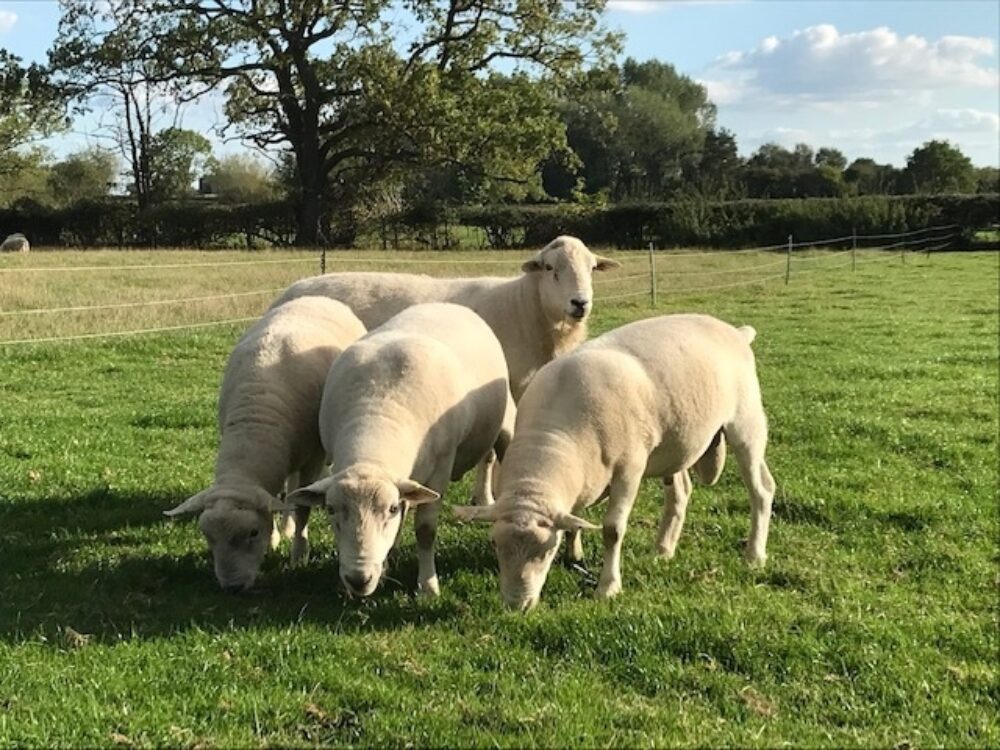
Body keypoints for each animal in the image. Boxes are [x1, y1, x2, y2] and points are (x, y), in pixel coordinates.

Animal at [164, 296, 367, 592]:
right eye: (207, 536)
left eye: (252, 532)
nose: (232, 588)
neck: (255, 421)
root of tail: (318, 298)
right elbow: (278, 498)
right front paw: (275, 538)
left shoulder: (313, 457)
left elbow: (302, 506)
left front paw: (298, 554)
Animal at [287, 302, 516, 598]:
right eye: (330, 509)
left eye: (391, 509)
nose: (358, 580)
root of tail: (447, 305)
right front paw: (384, 569)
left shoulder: (441, 468)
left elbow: (425, 530)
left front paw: (428, 587)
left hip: (505, 424)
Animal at [456, 314, 775, 611]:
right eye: (494, 543)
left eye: (547, 551)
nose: (516, 606)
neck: (553, 435)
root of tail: (736, 331)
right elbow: (574, 519)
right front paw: (575, 554)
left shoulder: (629, 470)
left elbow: (612, 530)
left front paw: (607, 588)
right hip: (675, 444)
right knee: (681, 492)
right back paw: (663, 550)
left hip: (746, 423)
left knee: (762, 489)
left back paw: (754, 555)